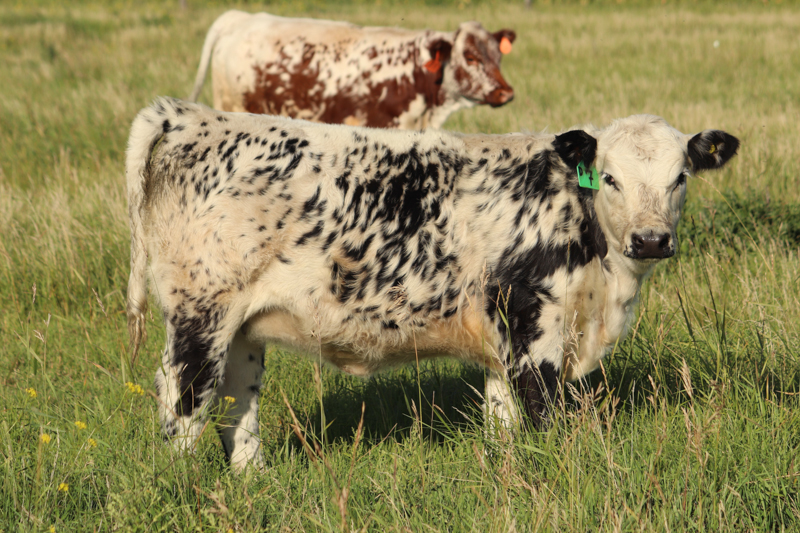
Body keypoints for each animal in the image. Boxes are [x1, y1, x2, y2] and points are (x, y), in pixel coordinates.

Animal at [126, 97, 738, 469]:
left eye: (680, 177)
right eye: (609, 178)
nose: (652, 239)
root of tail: (191, 116)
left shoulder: (502, 339)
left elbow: (501, 421)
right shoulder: (533, 327)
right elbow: (543, 415)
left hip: (241, 329)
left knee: (237, 401)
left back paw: (252, 476)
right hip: (199, 314)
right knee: (183, 398)